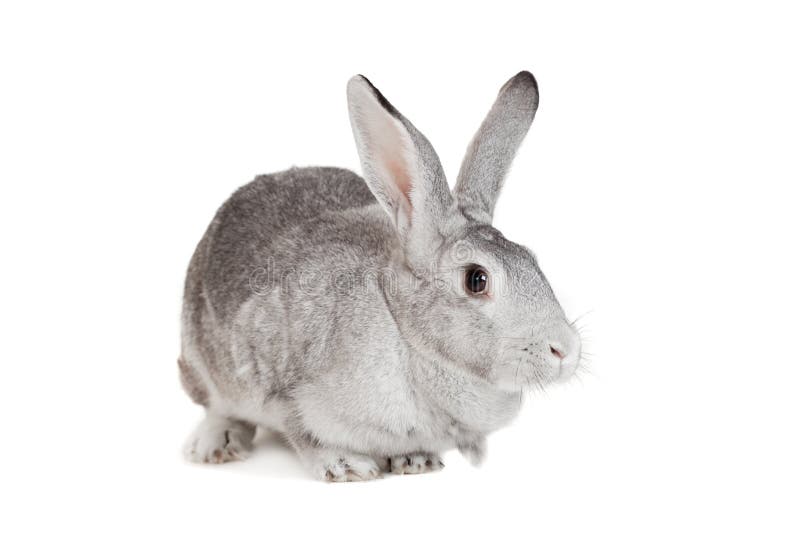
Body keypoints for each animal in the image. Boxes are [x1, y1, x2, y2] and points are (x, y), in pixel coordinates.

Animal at [179, 71, 582, 481]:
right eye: (476, 279)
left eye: (532, 260)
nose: (566, 350)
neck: (403, 328)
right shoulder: (279, 381)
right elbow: (303, 434)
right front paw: (347, 467)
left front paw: (417, 462)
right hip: (197, 360)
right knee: (216, 406)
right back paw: (217, 444)